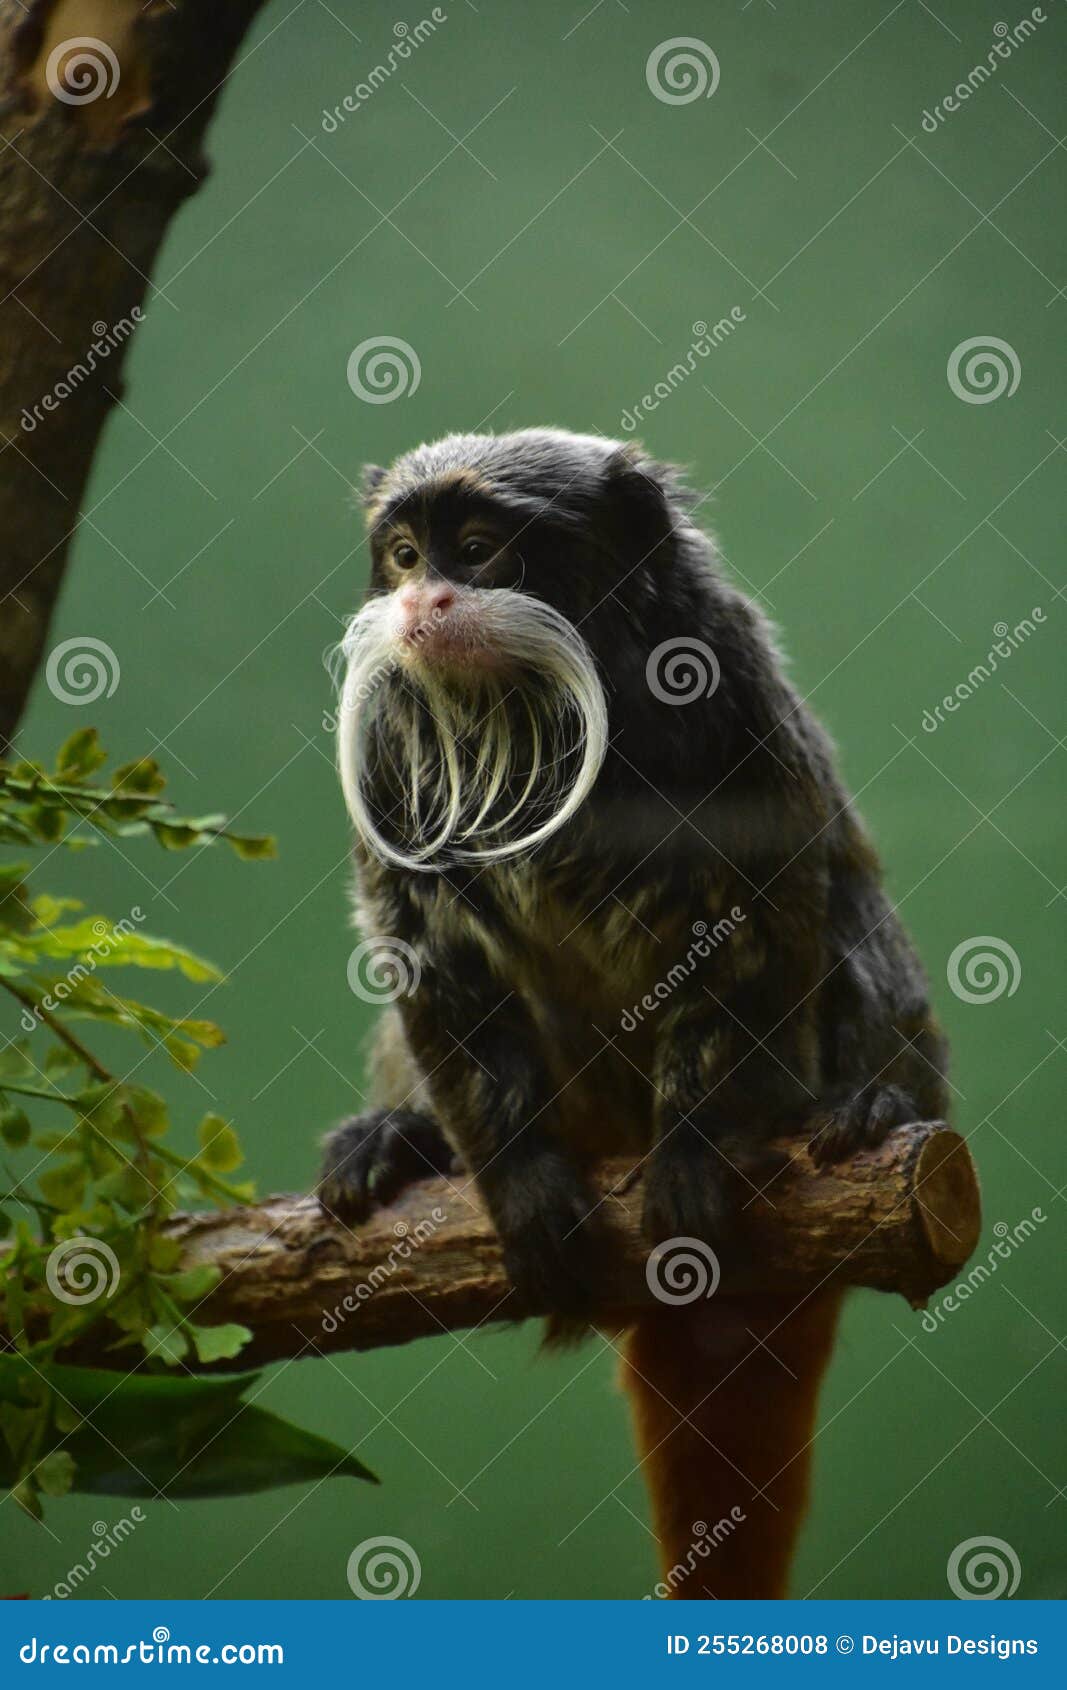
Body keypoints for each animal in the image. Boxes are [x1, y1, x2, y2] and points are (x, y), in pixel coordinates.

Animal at [317, 427, 949, 1599]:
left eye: (479, 549)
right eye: (404, 552)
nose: (425, 599)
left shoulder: (725, 684)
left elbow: (760, 906)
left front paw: (693, 1156)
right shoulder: (387, 733)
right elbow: (420, 943)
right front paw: (518, 1179)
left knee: (847, 913)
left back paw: (868, 1109)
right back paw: (403, 1135)